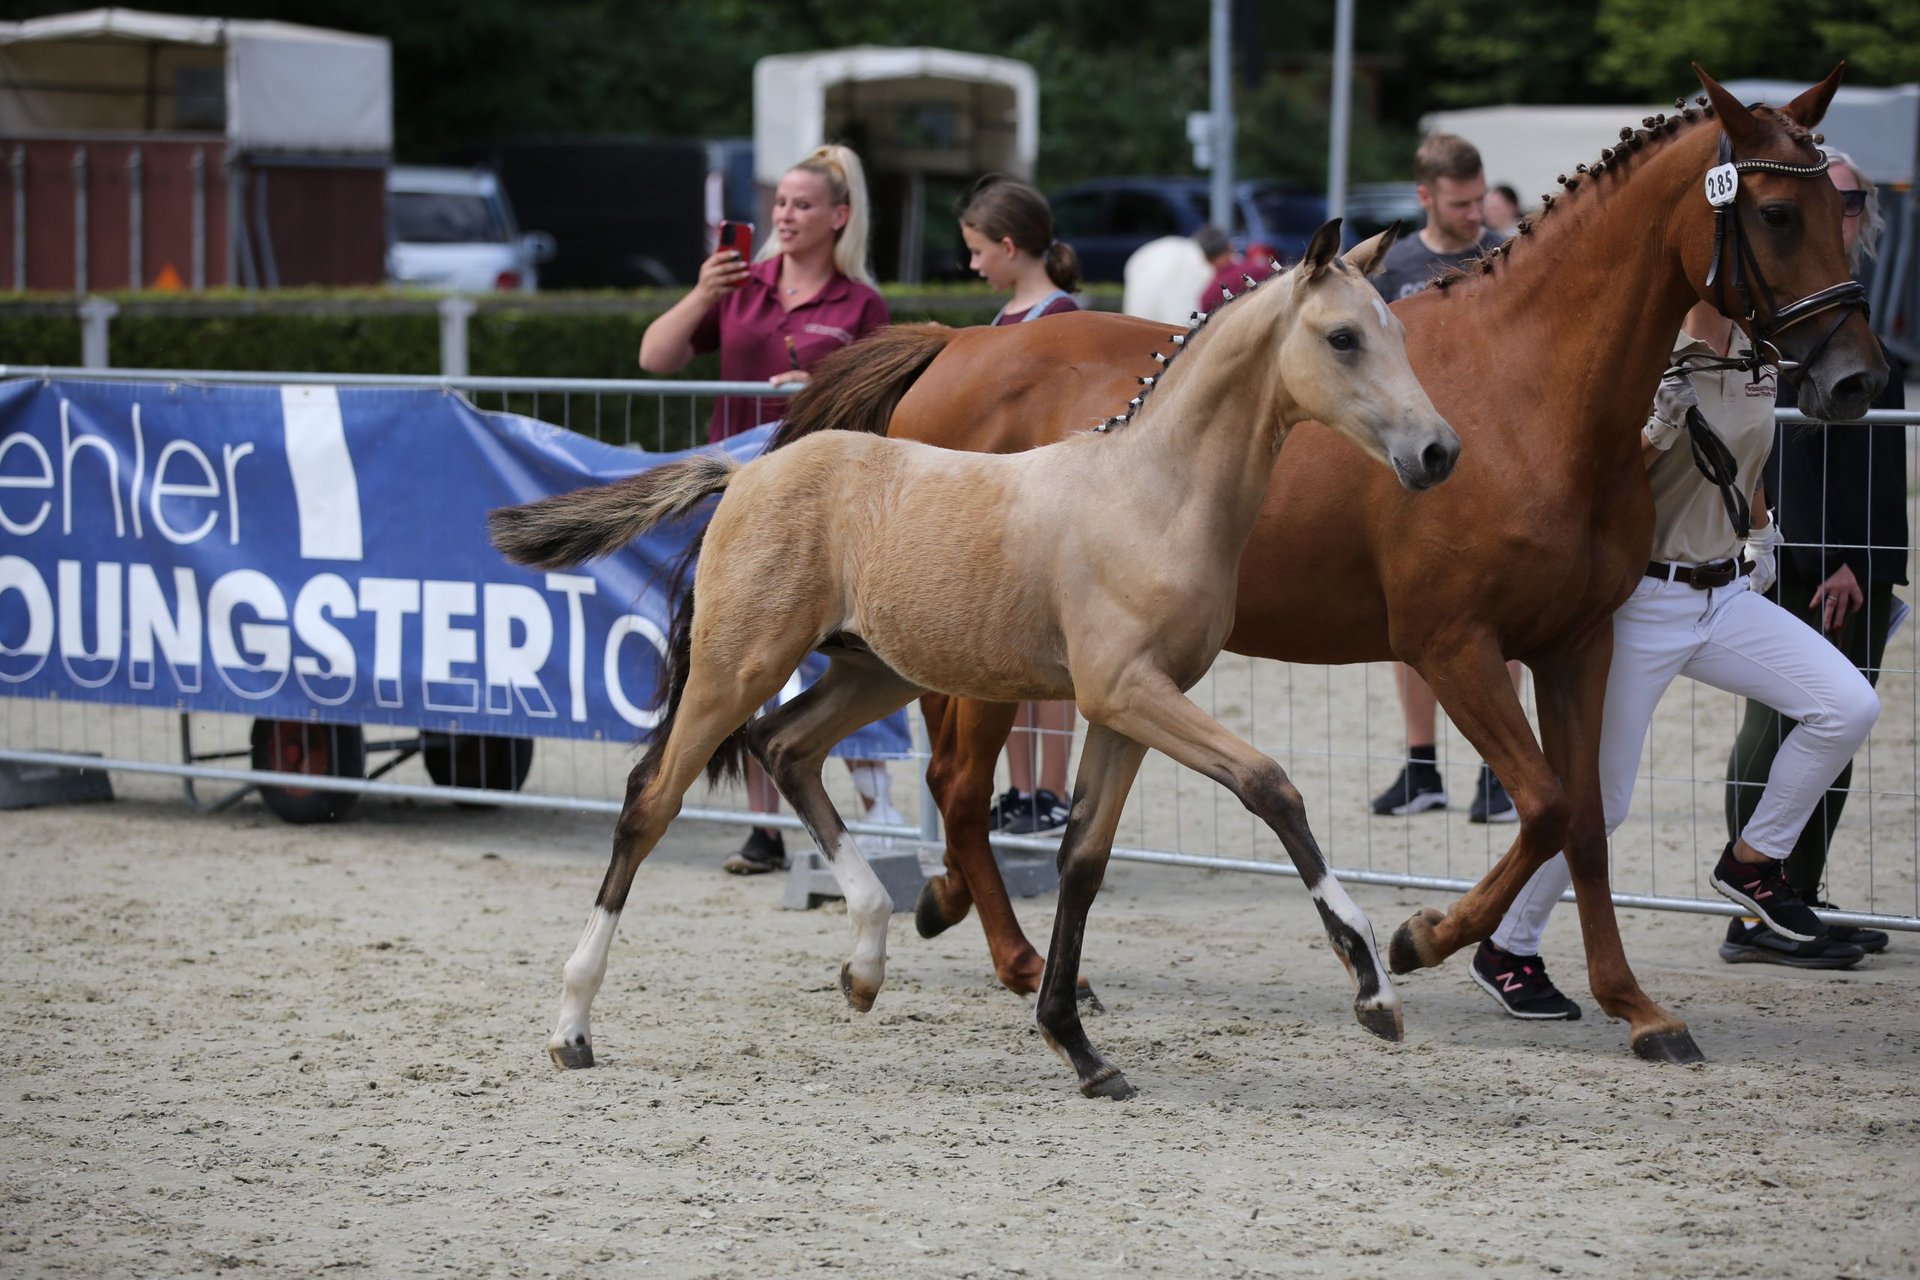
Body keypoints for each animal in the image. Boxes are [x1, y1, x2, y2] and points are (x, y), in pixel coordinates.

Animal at [490, 224, 1460, 1098]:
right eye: (1343, 337)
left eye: (1400, 332)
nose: (1438, 451)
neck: (1155, 494)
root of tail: (744, 475)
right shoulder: (1131, 692)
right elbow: (1271, 786)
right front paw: (1373, 986)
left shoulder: (1126, 710)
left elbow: (1082, 860)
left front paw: (1078, 1046)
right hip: (739, 666)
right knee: (651, 800)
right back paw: (572, 1027)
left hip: (873, 669)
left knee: (787, 748)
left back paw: (867, 961)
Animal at [770, 64, 1885, 1064]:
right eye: (1776, 212)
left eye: (1847, 205)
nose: (1856, 380)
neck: (1528, 389)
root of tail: (953, 344)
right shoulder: (1453, 646)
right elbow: (1545, 805)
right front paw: (1419, 938)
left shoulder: (1580, 645)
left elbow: (1585, 822)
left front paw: (1634, 1004)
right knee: (957, 783)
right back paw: (1020, 958)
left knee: (949, 781)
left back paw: (970, 922)